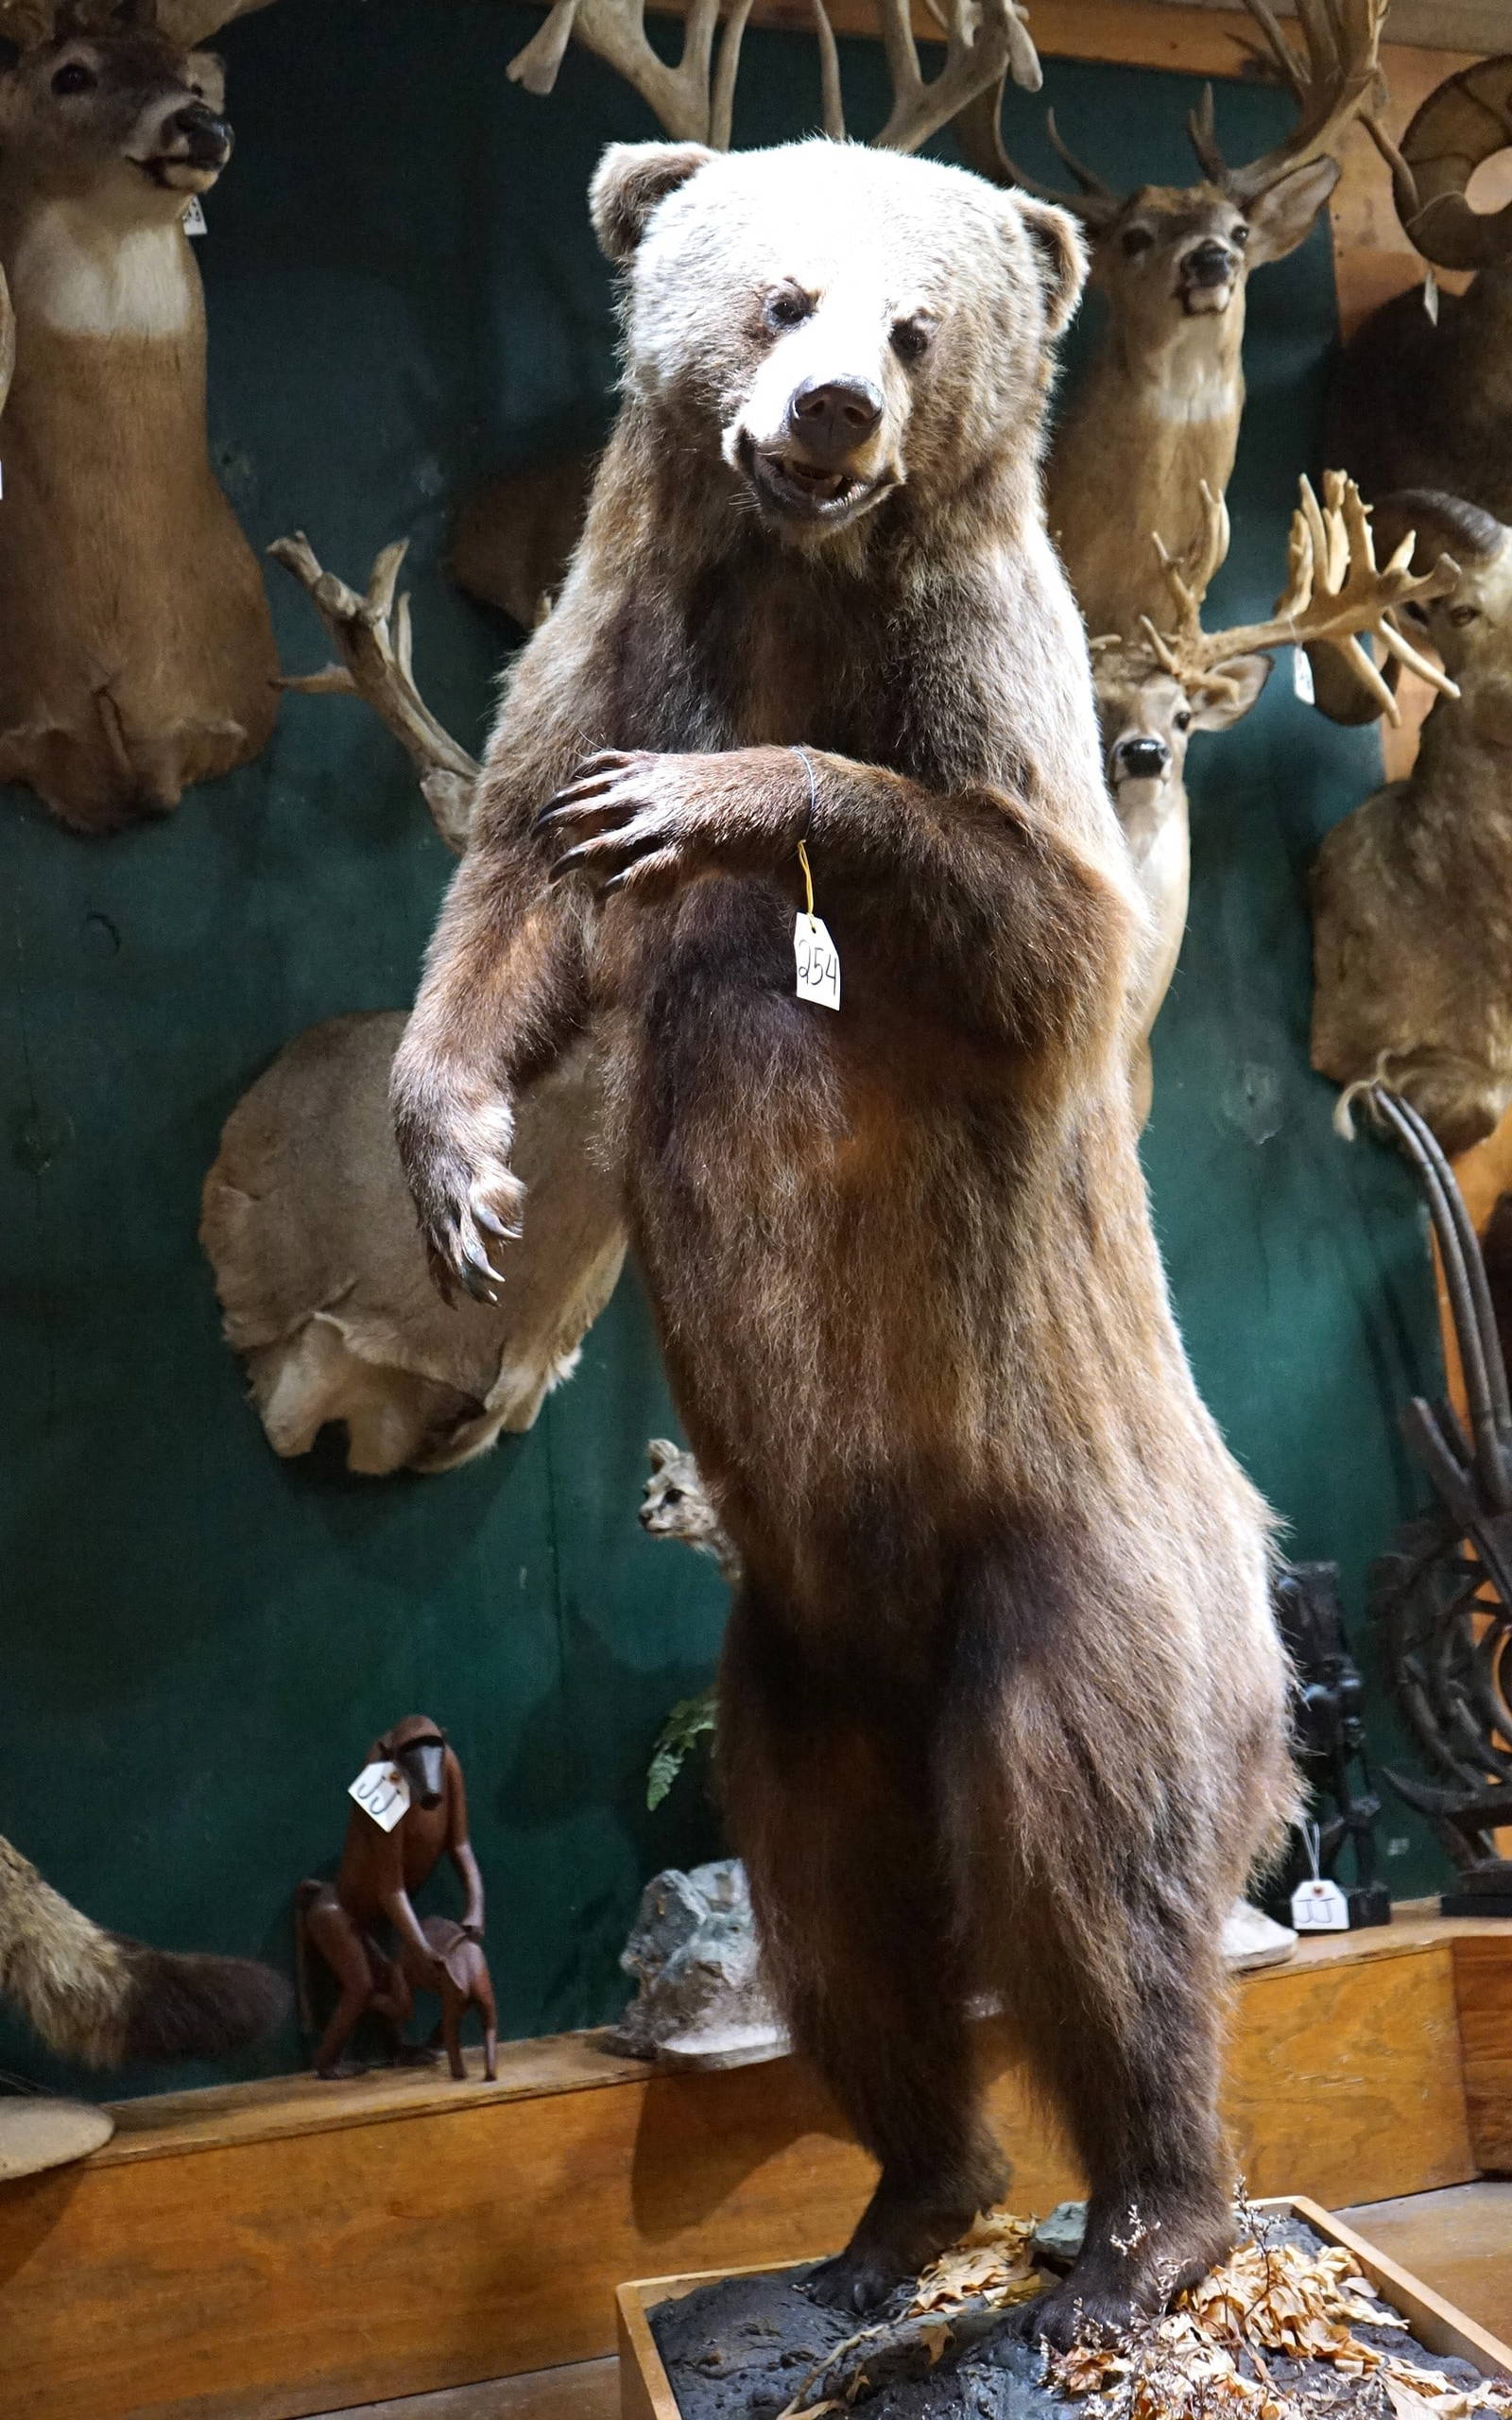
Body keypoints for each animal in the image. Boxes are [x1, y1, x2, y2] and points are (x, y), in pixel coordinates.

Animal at [391, 137, 1292, 2344]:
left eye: (917, 321)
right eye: (779, 290)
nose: (828, 418)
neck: (794, 588)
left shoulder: (991, 693)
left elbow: (1044, 927)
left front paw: (714, 800)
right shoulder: (603, 643)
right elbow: (507, 897)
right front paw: (459, 1175)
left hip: (1079, 1564)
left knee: (1090, 1857)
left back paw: (1144, 2231)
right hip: (793, 1660)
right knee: (835, 1908)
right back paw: (891, 2215)